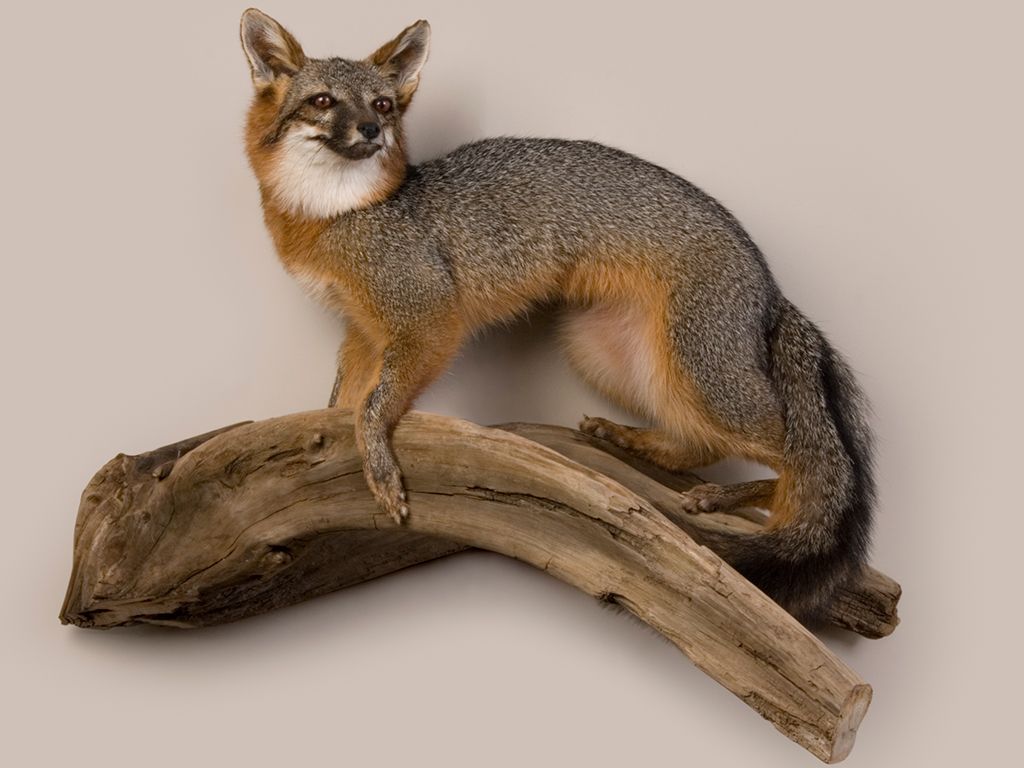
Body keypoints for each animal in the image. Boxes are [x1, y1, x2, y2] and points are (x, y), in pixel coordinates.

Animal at [239, 9, 875, 620]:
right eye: (324, 101)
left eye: (383, 105)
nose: (373, 130)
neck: (336, 215)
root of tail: (769, 281)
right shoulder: (363, 331)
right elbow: (342, 402)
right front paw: (319, 449)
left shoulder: (426, 321)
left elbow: (373, 405)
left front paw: (377, 464)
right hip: (610, 357)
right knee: (705, 446)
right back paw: (634, 442)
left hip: (700, 374)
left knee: (797, 454)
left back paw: (730, 496)